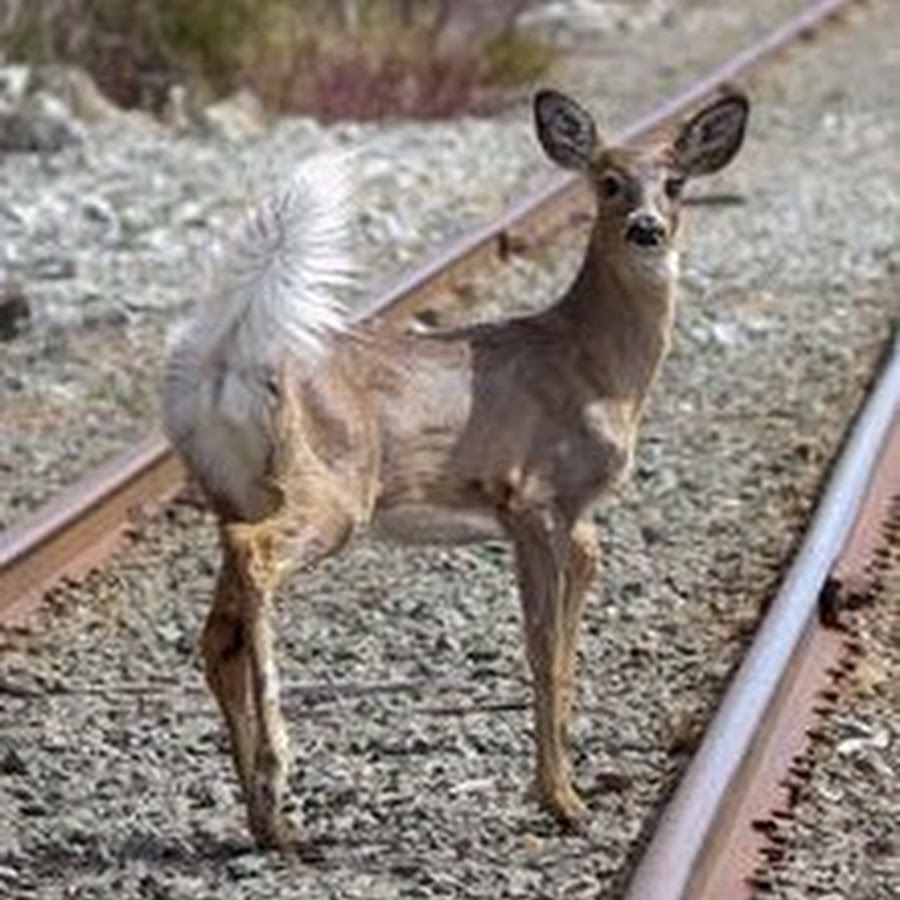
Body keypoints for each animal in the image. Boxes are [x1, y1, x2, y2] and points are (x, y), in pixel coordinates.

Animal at [162, 87, 749, 850]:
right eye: (607, 181)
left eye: (676, 182)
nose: (647, 229)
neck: (596, 368)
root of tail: (225, 362)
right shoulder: (533, 499)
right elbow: (541, 649)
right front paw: (562, 801)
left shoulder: (580, 524)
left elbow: (567, 649)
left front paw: (570, 786)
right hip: (332, 487)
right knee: (254, 559)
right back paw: (278, 766)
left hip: (230, 487)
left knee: (218, 634)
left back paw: (269, 820)